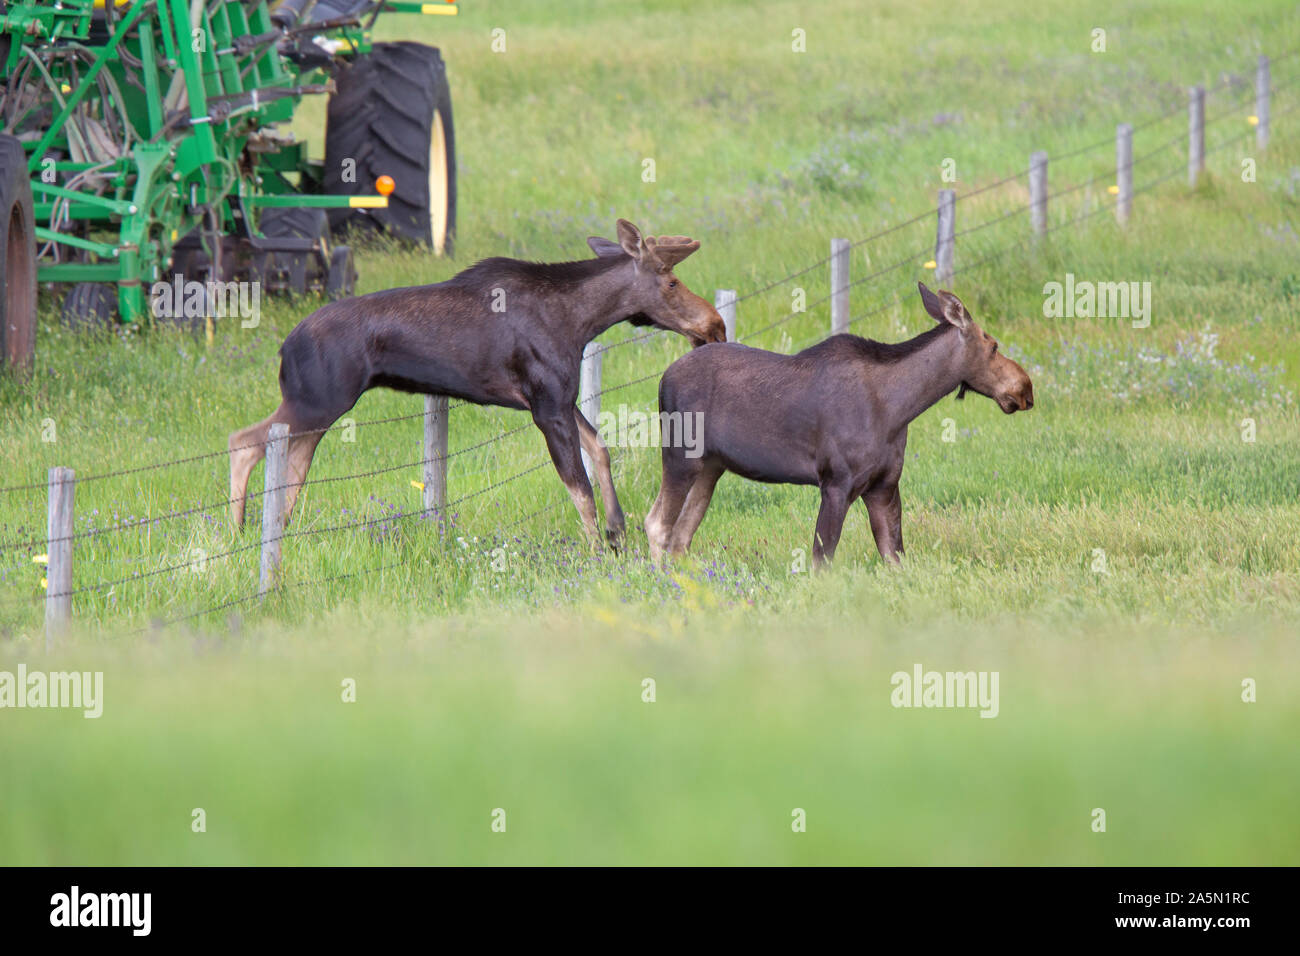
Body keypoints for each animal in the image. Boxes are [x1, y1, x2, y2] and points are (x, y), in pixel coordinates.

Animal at [228, 219, 726, 546]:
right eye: (673, 282)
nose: (716, 325)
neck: (583, 321)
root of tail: (284, 347)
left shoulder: (559, 400)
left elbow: (601, 450)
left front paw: (617, 531)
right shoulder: (547, 406)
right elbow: (578, 485)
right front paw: (595, 549)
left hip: (317, 409)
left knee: (291, 466)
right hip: (316, 400)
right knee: (245, 441)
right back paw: (238, 530)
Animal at [645, 282, 1034, 569]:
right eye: (993, 346)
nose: (1025, 388)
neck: (900, 408)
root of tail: (662, 381)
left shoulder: (884, 486)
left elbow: (896, 559)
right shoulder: (835, 483)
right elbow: (821, 561)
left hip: (711, 466)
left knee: (681, 536)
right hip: (680, 458)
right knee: (658, 525)